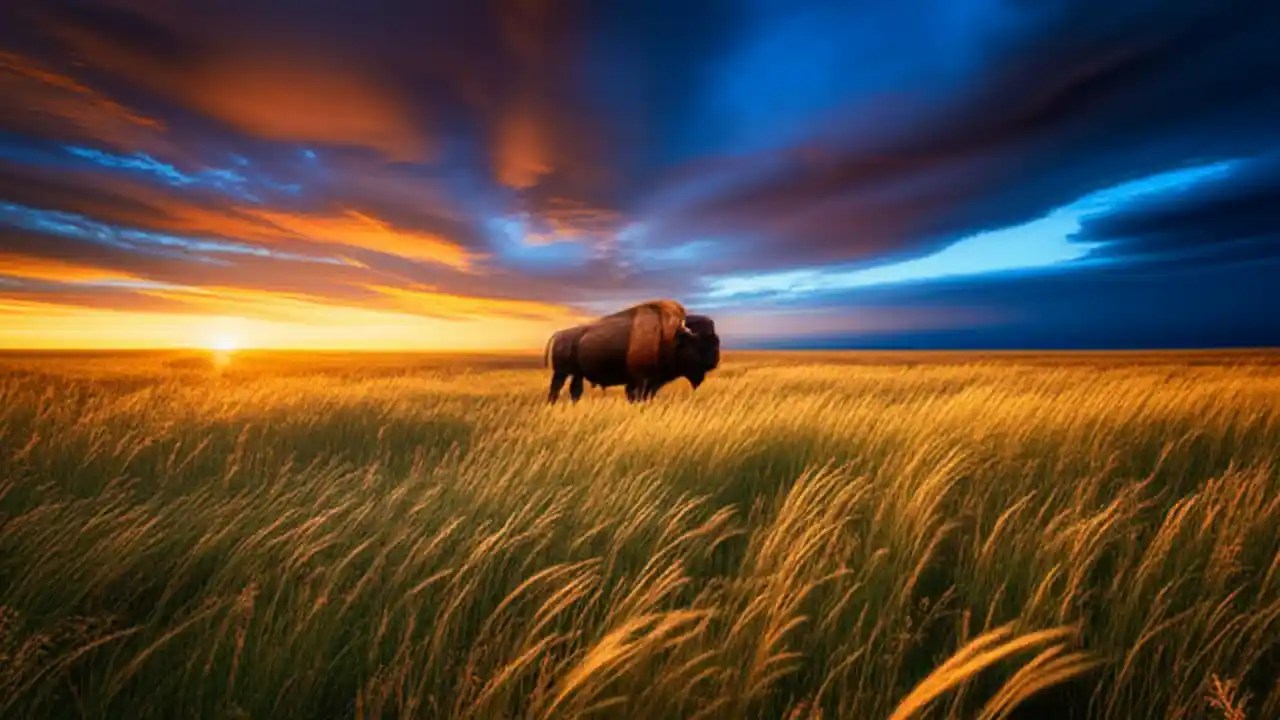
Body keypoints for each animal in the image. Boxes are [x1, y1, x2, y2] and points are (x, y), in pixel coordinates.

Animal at [545, 300, 719, 403]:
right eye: (700, 343)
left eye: (716, 340)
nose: (713, 362)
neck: (673, 336)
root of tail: (560, 333)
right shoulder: (640, 380)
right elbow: (636, 395)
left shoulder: (652, 382)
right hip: (561, 372)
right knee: (556, 388)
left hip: (577, 374)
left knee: (575, 390)